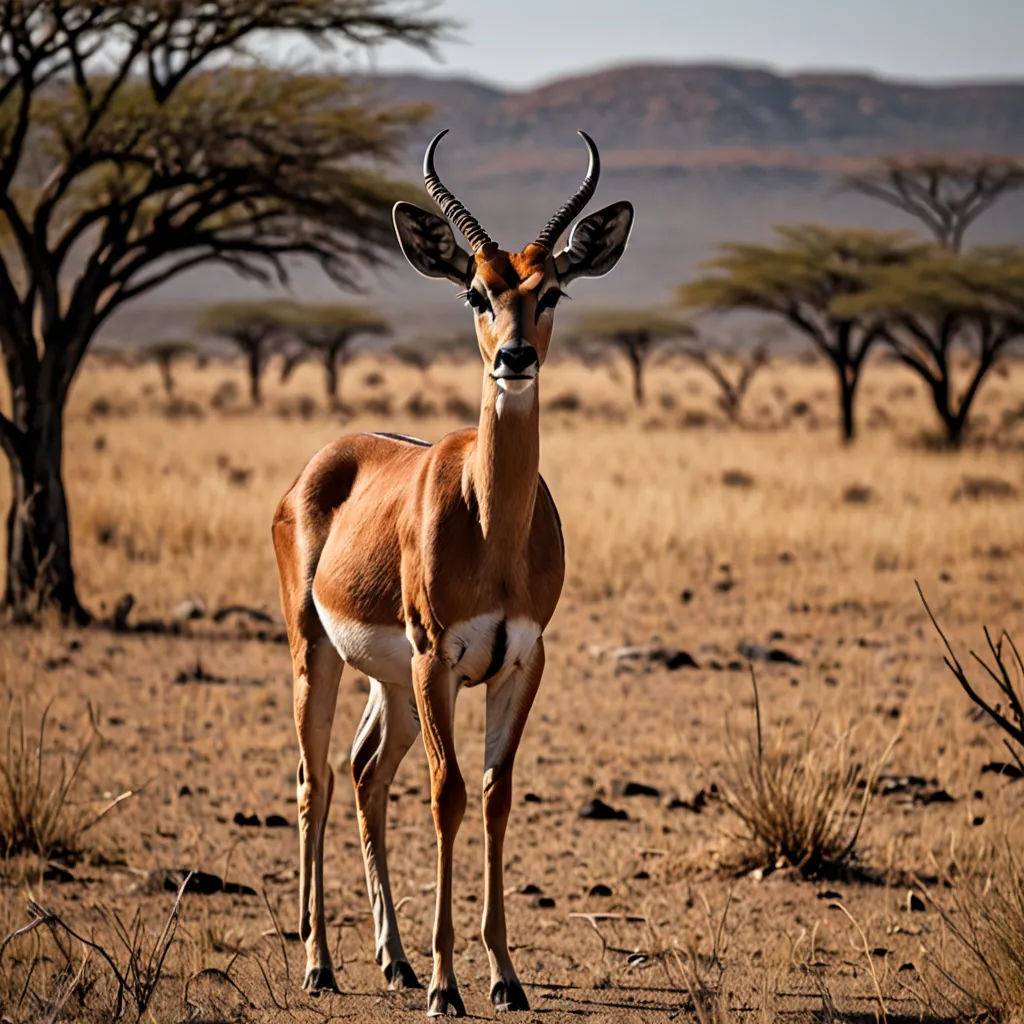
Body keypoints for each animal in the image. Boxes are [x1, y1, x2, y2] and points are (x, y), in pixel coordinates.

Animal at [272, 130, 633, 1016]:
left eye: (552, 292)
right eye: (476, 292)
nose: (514, 358)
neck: (492, 528)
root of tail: (322, 463)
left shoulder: (521, 662)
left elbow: (498, 795)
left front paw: (502, 976)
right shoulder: (440, 660)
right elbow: (450, 794)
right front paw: (447, 985)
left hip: (391, 685)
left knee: (365, 774)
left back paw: (391, 961)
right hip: (318, 656)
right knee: (314, 781)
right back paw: (320, 964)